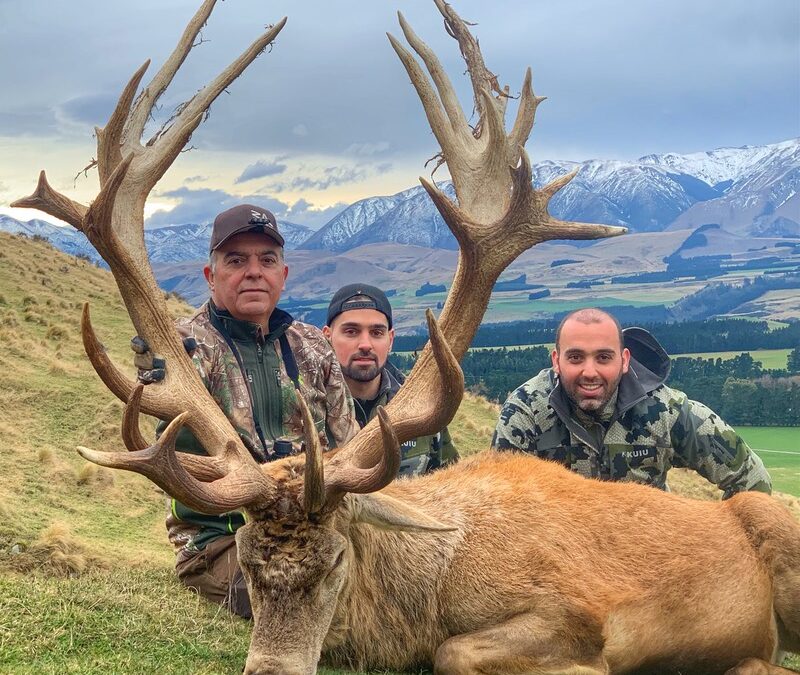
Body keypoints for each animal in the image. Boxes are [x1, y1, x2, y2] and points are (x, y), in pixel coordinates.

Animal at [14, 1, 800, 673]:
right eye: (247, 557)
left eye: (335, 557)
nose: (270, 665)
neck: (428, 589)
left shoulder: (576, 611)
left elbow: (460, 652)